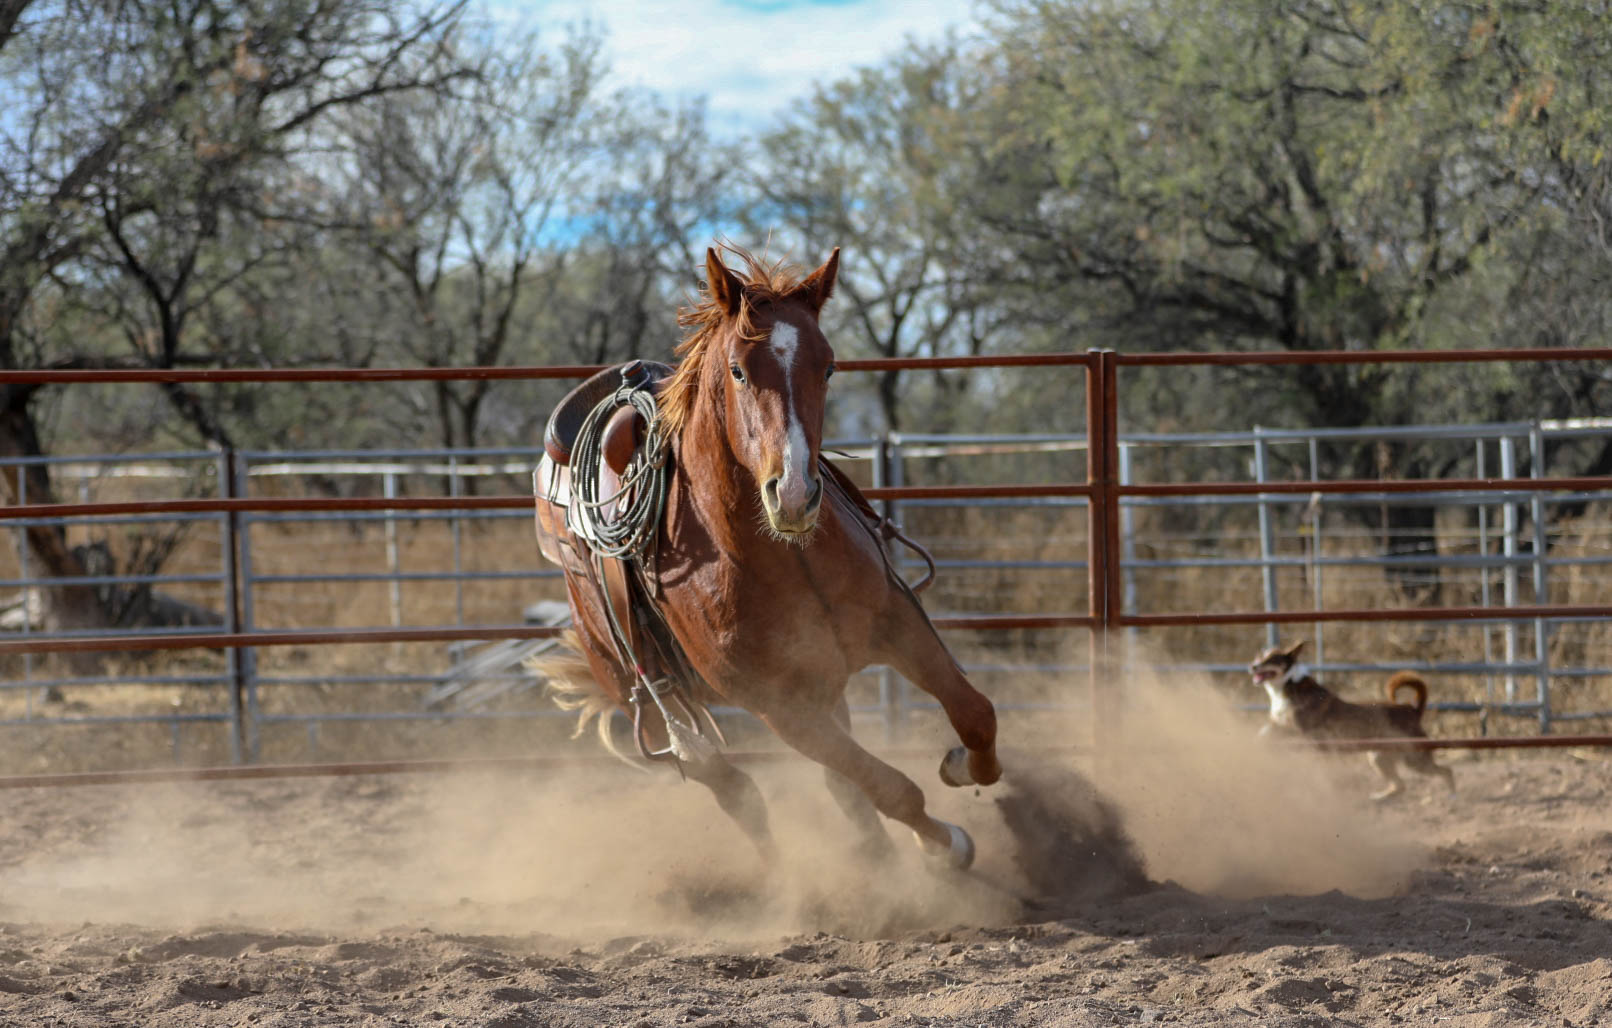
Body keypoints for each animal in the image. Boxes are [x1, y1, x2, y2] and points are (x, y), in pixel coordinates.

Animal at [531, 244, 1002, 869]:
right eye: (737, 370)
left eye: (828, 367)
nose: (795, 493)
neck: (788, 562)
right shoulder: (778, 707)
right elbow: (891, 788)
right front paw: (946, 844)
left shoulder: (899, 624)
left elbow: (975, 715)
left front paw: (960, 766)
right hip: (656, 712)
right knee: (741, 795)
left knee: (840, 789)